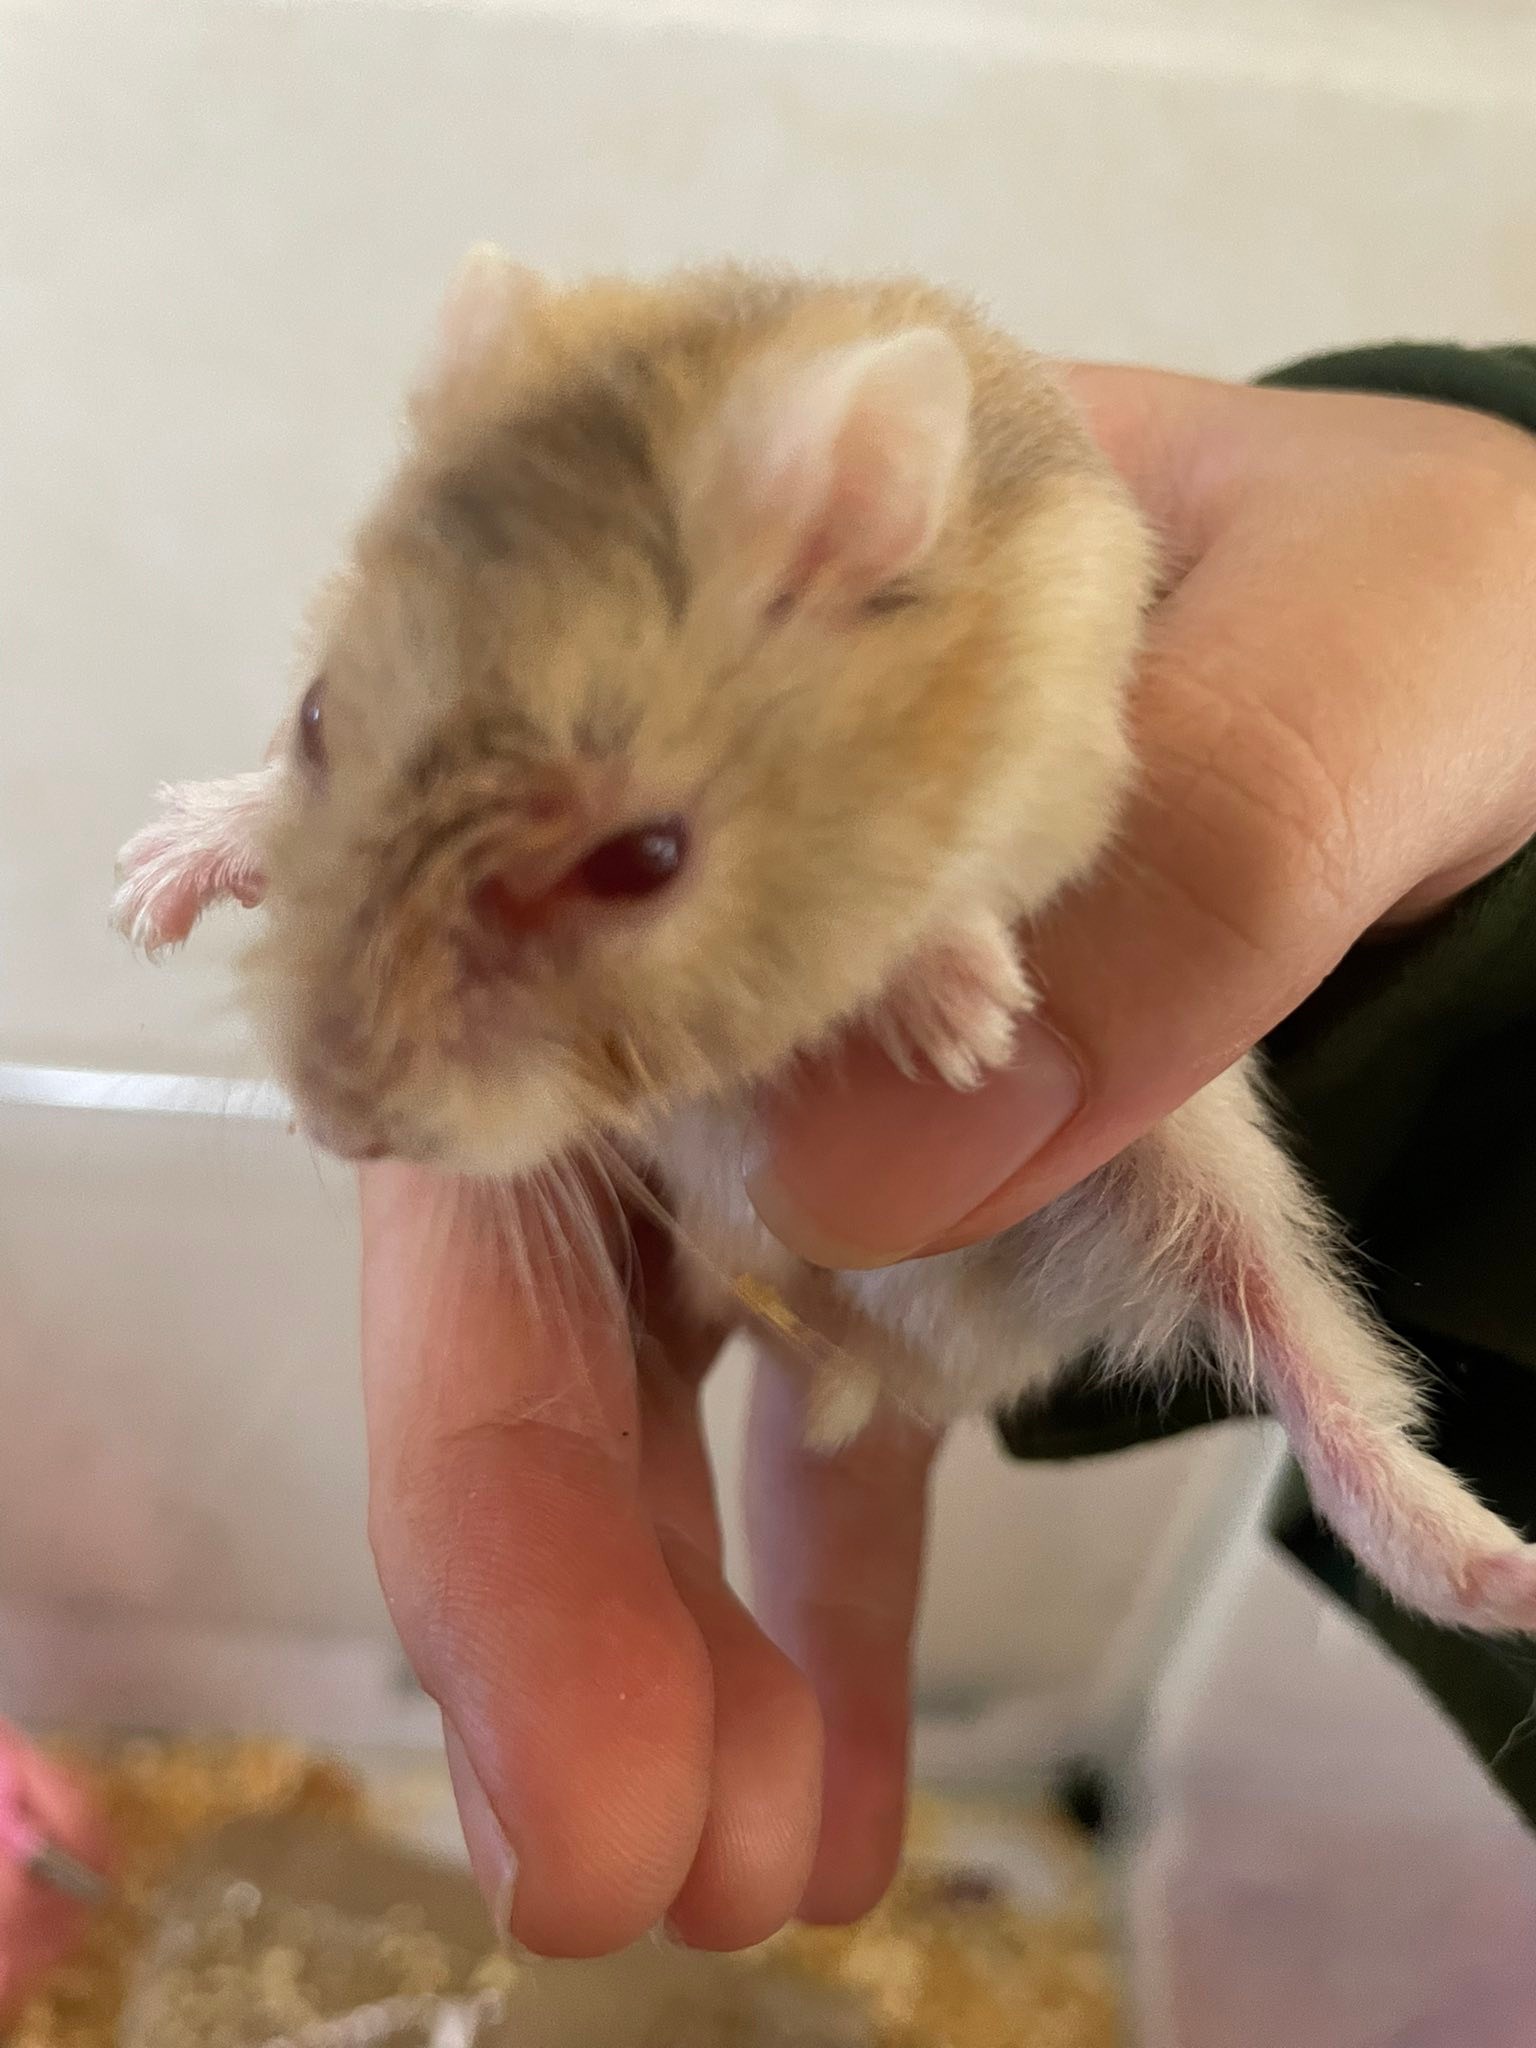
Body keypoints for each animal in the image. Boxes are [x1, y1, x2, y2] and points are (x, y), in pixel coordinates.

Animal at [114, 247, 1536, 1637]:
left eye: (644, 860)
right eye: (313, 716)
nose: (334, 1122)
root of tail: (909, 1358)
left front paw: (967, 1035)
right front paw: (148, 887)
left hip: (1203, 1176)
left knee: (1310, 1373)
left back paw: (1498, 1573)